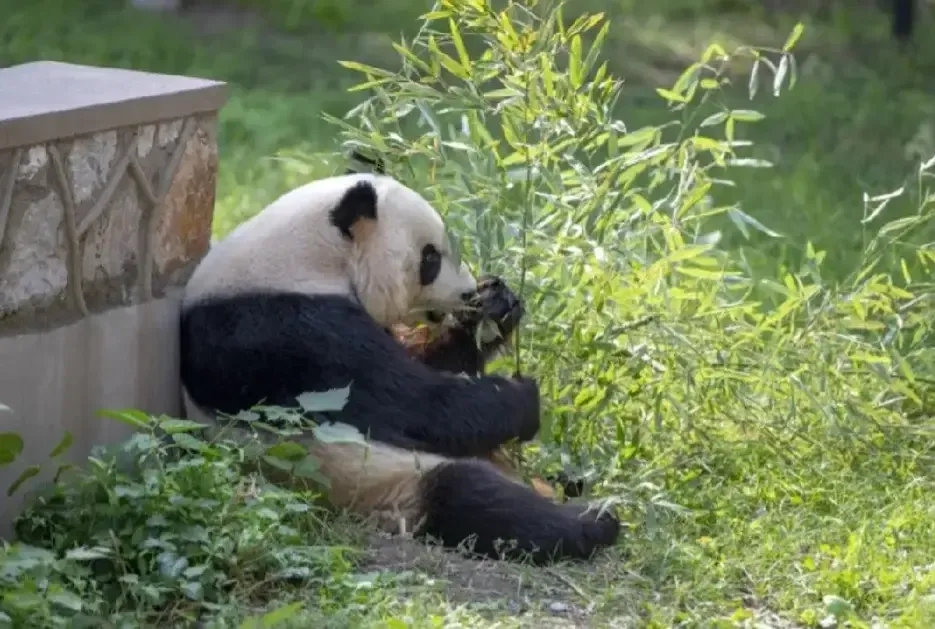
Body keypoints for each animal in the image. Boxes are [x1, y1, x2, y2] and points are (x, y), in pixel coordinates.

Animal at [178, 172, 620, 564]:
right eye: (430, 258)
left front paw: (493, 307)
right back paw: (592, 520)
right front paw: (522, 397)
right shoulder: (284, 332)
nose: (465, 293)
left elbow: (432, 367)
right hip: (380, 482)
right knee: (475, 500)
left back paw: (572, 485)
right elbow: (410, 405)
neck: (305, 256)